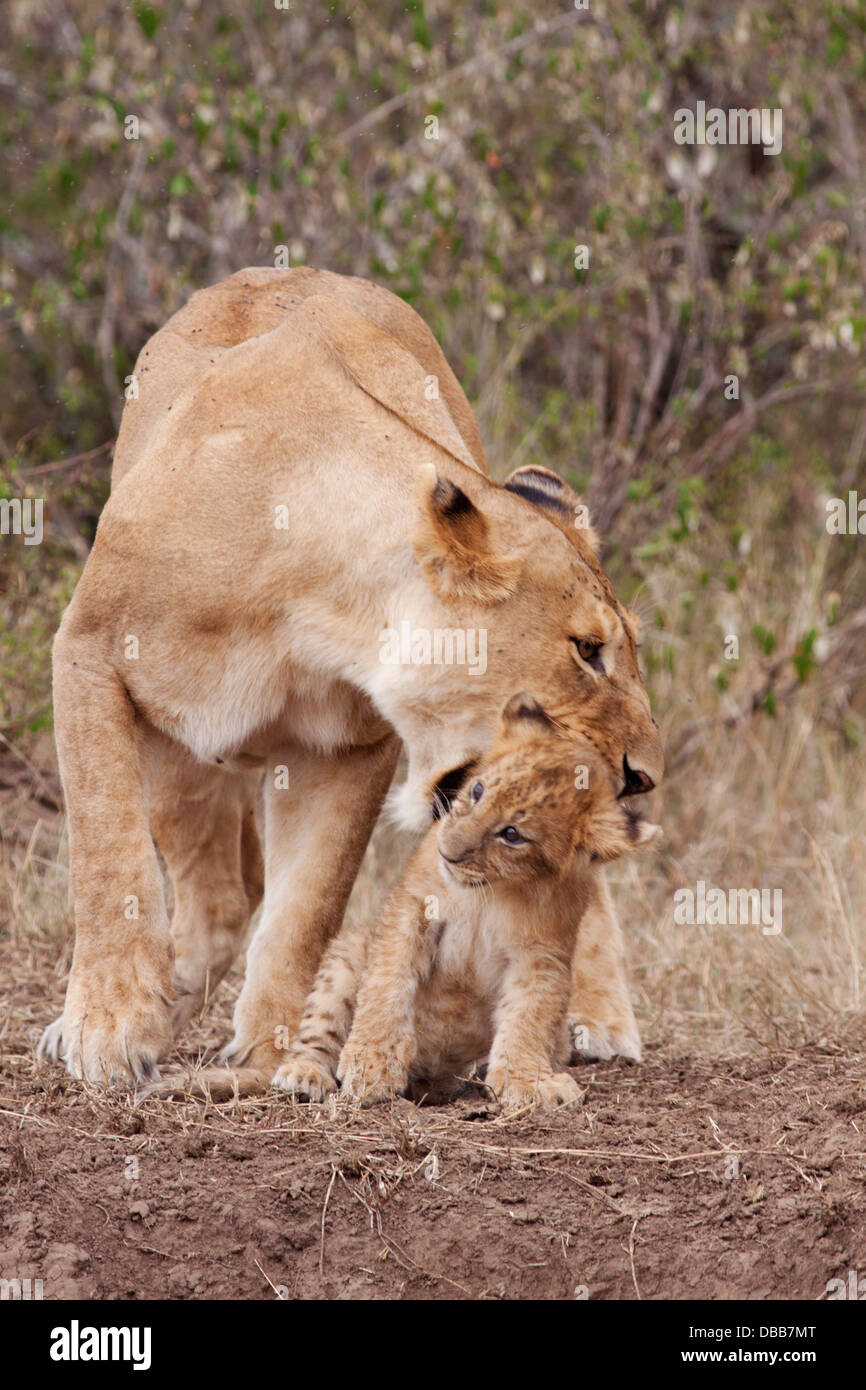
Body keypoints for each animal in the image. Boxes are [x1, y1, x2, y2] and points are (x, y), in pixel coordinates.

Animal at [275, 692, 661, 1111]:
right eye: (477, 791)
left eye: (512, 834)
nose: (448, 850)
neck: (488, 893)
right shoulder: (412, 906)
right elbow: (387, 982)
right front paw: (372, 1063)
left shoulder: (542, 951)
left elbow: (530, 1014)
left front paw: (526, 1081)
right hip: (348, 954)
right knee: (320, 1024)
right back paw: (303, 1074)